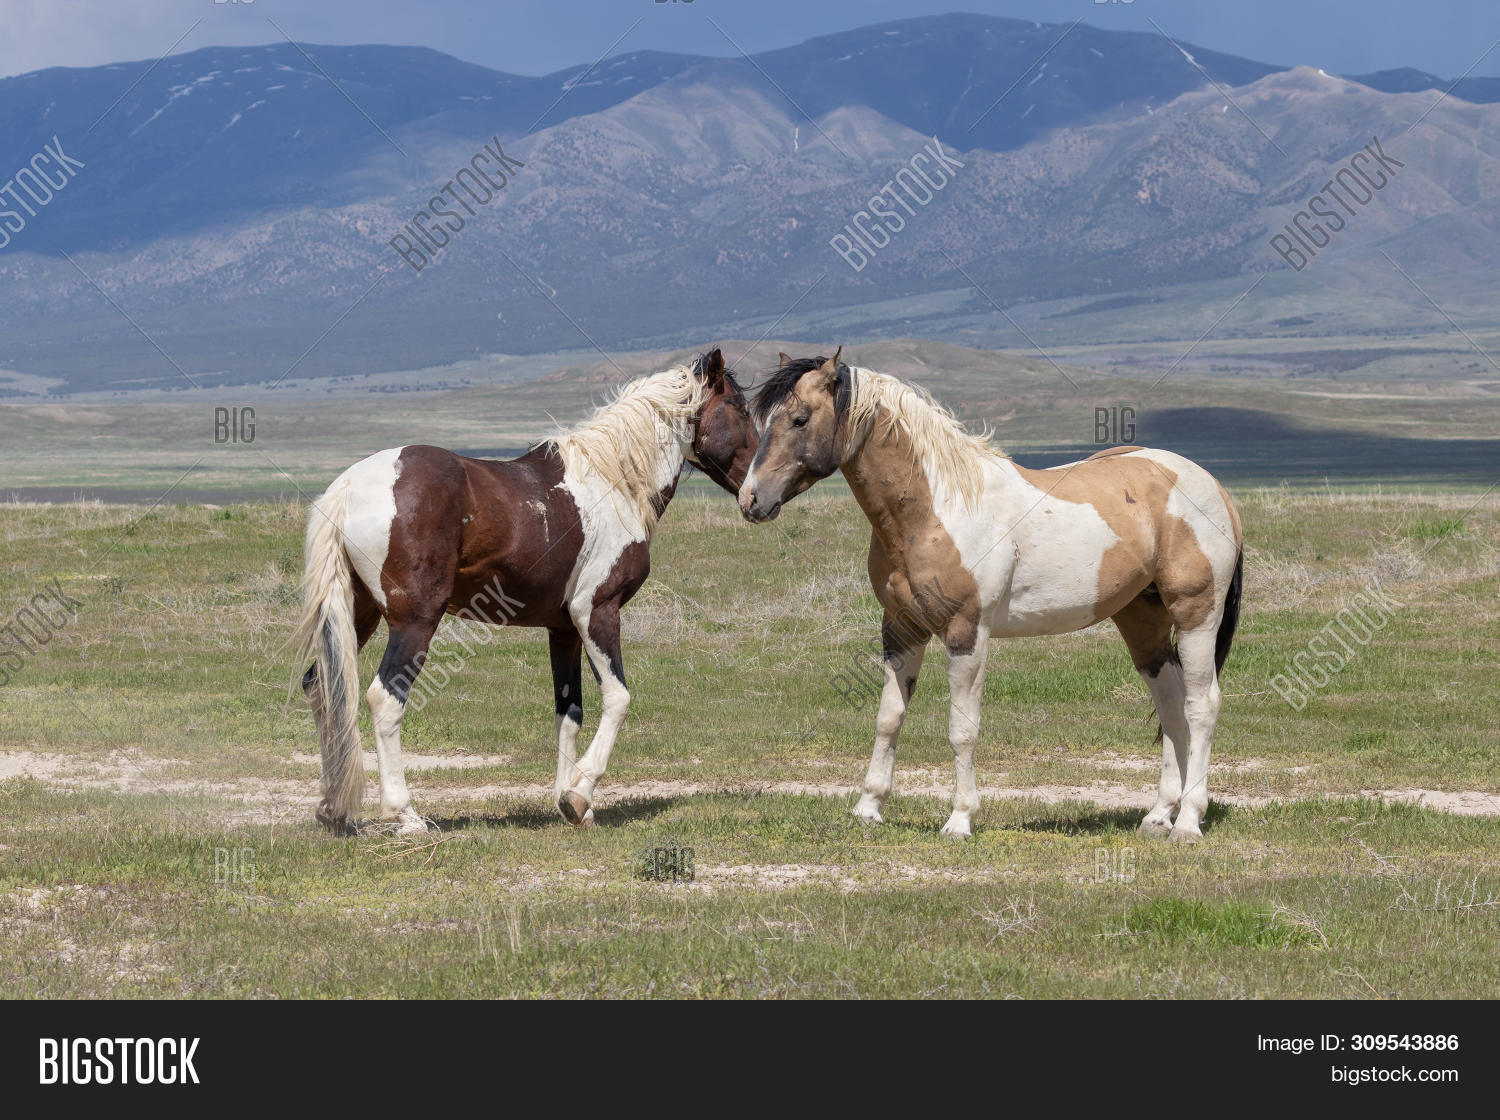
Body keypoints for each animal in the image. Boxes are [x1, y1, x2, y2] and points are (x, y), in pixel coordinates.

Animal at [291, 349, 757, 834]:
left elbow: (569, 713)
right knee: (385, 697)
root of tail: (350, 485)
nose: (756, 496)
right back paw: (405, 813)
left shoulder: (564, 629)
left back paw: (332, 806)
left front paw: (569, 804)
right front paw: (579, 794)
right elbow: (618, 698)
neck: (614, 481)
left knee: (321, 686)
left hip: (358, 614)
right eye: (741, 410)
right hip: (415, 621)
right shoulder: (598, 612)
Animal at [738, 350, 1243, 842]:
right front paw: (868, 809)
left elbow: (962, 730)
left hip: (1196, 615)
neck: (938, 510)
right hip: (1142, 622)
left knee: (1201, 706)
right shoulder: (902, 629)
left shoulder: (967, 633)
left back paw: (1188, 823)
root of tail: (1215, 487)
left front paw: (959, 820)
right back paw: (1158, 816)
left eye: (800, 419)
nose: (749, 499)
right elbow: (889, 717)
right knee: (1171, 705)